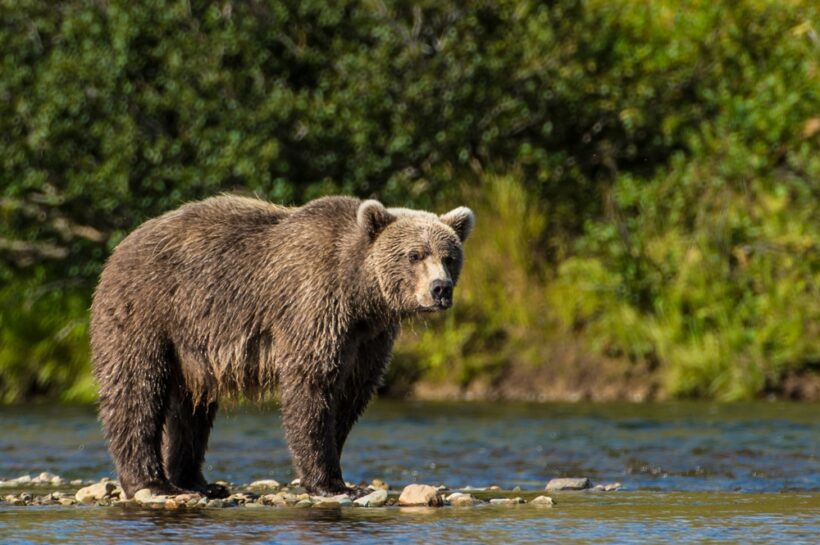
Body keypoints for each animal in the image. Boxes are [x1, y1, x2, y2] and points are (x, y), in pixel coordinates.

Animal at [90, 195, 474, 498]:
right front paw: (331, 483)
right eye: (414, 255)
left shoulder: (368, 339)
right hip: (149, 311)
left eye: (449, 256)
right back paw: (151, 483)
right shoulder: (314, 307)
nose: (440, 289)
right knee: (137, 390)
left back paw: (199, 483)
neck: (360, 295)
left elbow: (351, 395)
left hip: (191, 346)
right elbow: (311, 388)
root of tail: (120, 247)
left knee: (192, 409)